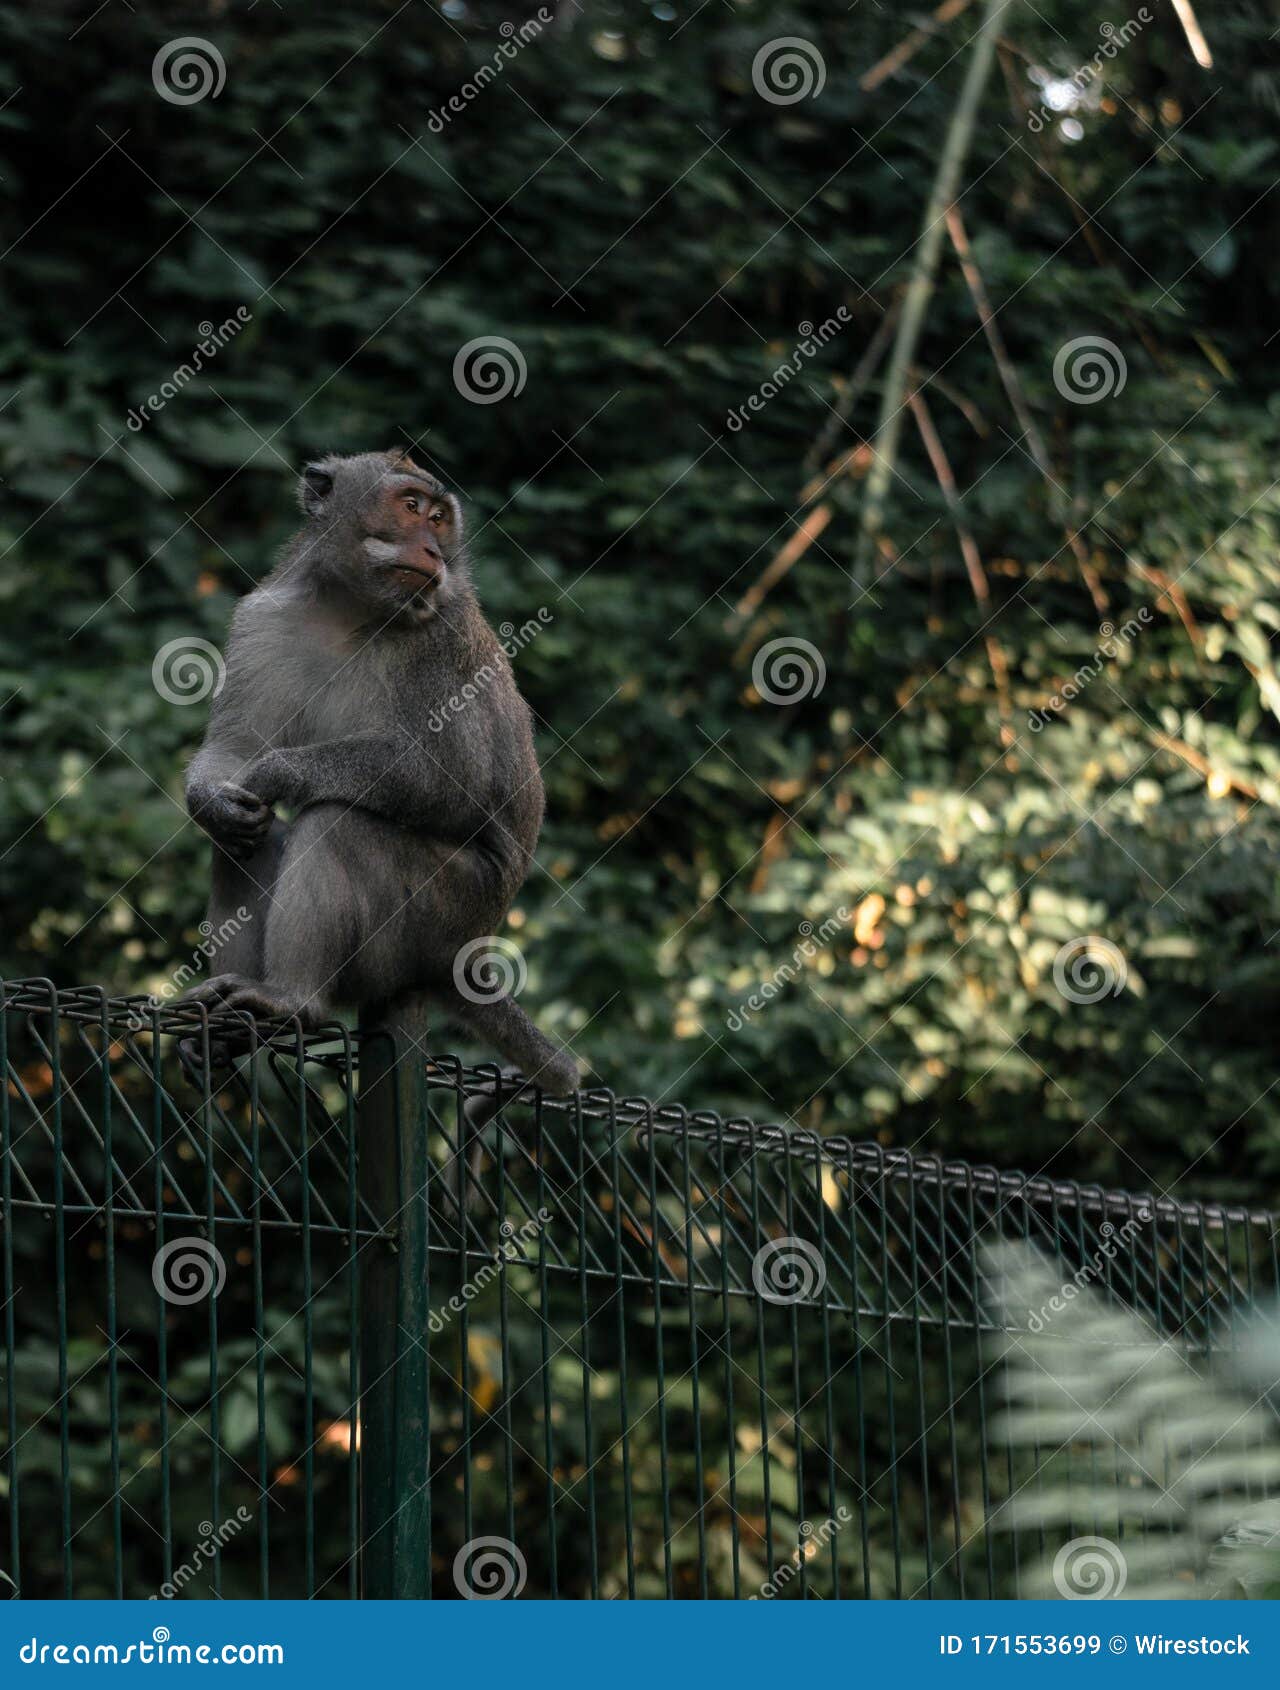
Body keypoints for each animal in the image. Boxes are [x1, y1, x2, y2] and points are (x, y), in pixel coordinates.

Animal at [180, 449, 578, 1142]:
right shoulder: (263, 622)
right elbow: (235, 751)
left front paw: (278, 773)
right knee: (246, 840)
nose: (433, 548)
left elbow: (450, 782)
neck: (350, 610)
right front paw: (212, 800)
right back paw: (234, 1026)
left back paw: (293, 999)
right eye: (412, 506)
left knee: (340, 821)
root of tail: (460, 954)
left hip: (437, 915)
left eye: (440, 517)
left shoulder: (442, 639)